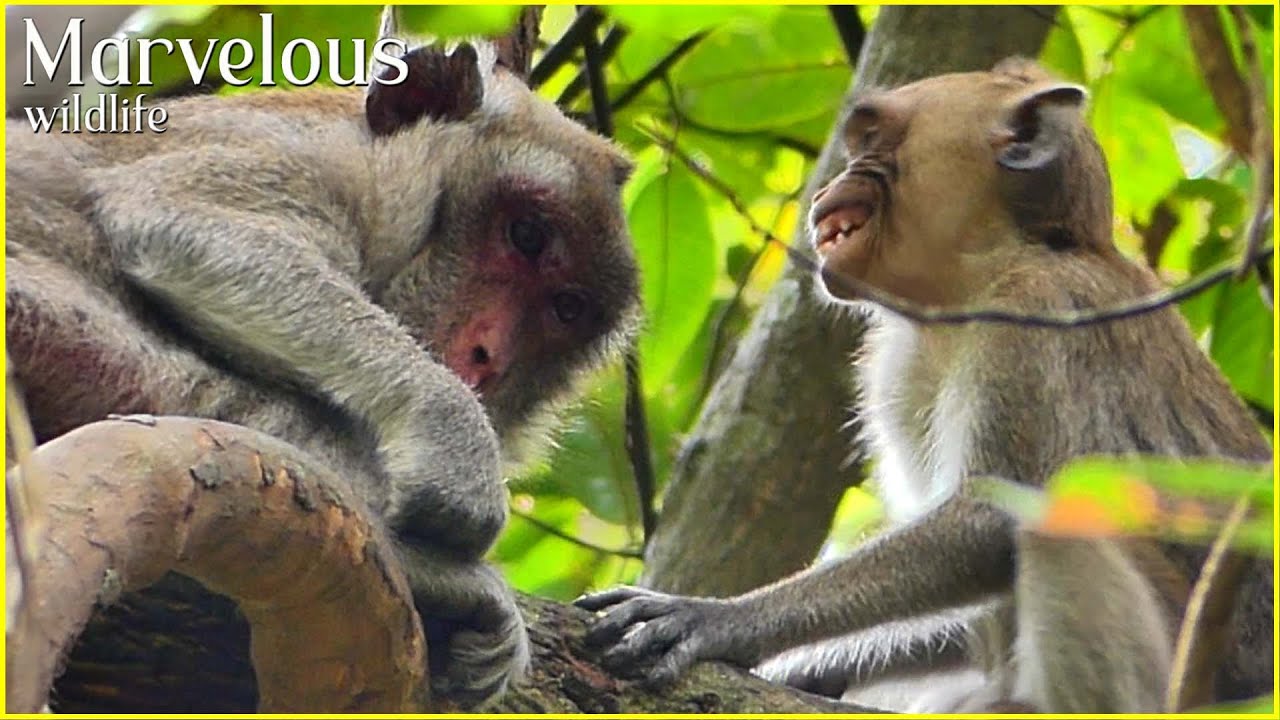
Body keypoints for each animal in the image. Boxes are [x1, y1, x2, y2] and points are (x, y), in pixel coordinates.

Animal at [6, 9, 639, 707]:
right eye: (526, 235)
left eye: (566, 308)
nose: (488, 356)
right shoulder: (304, 161)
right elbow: (187, 225)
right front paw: (449, 430)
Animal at [575, 58, 1272, 712]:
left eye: (871, 139)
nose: (828, 186)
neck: (983, 272)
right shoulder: (898, 367)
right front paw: (804, 668)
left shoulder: (1030, 314)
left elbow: (987, 519)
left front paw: (722, 620)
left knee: (1050, 516)